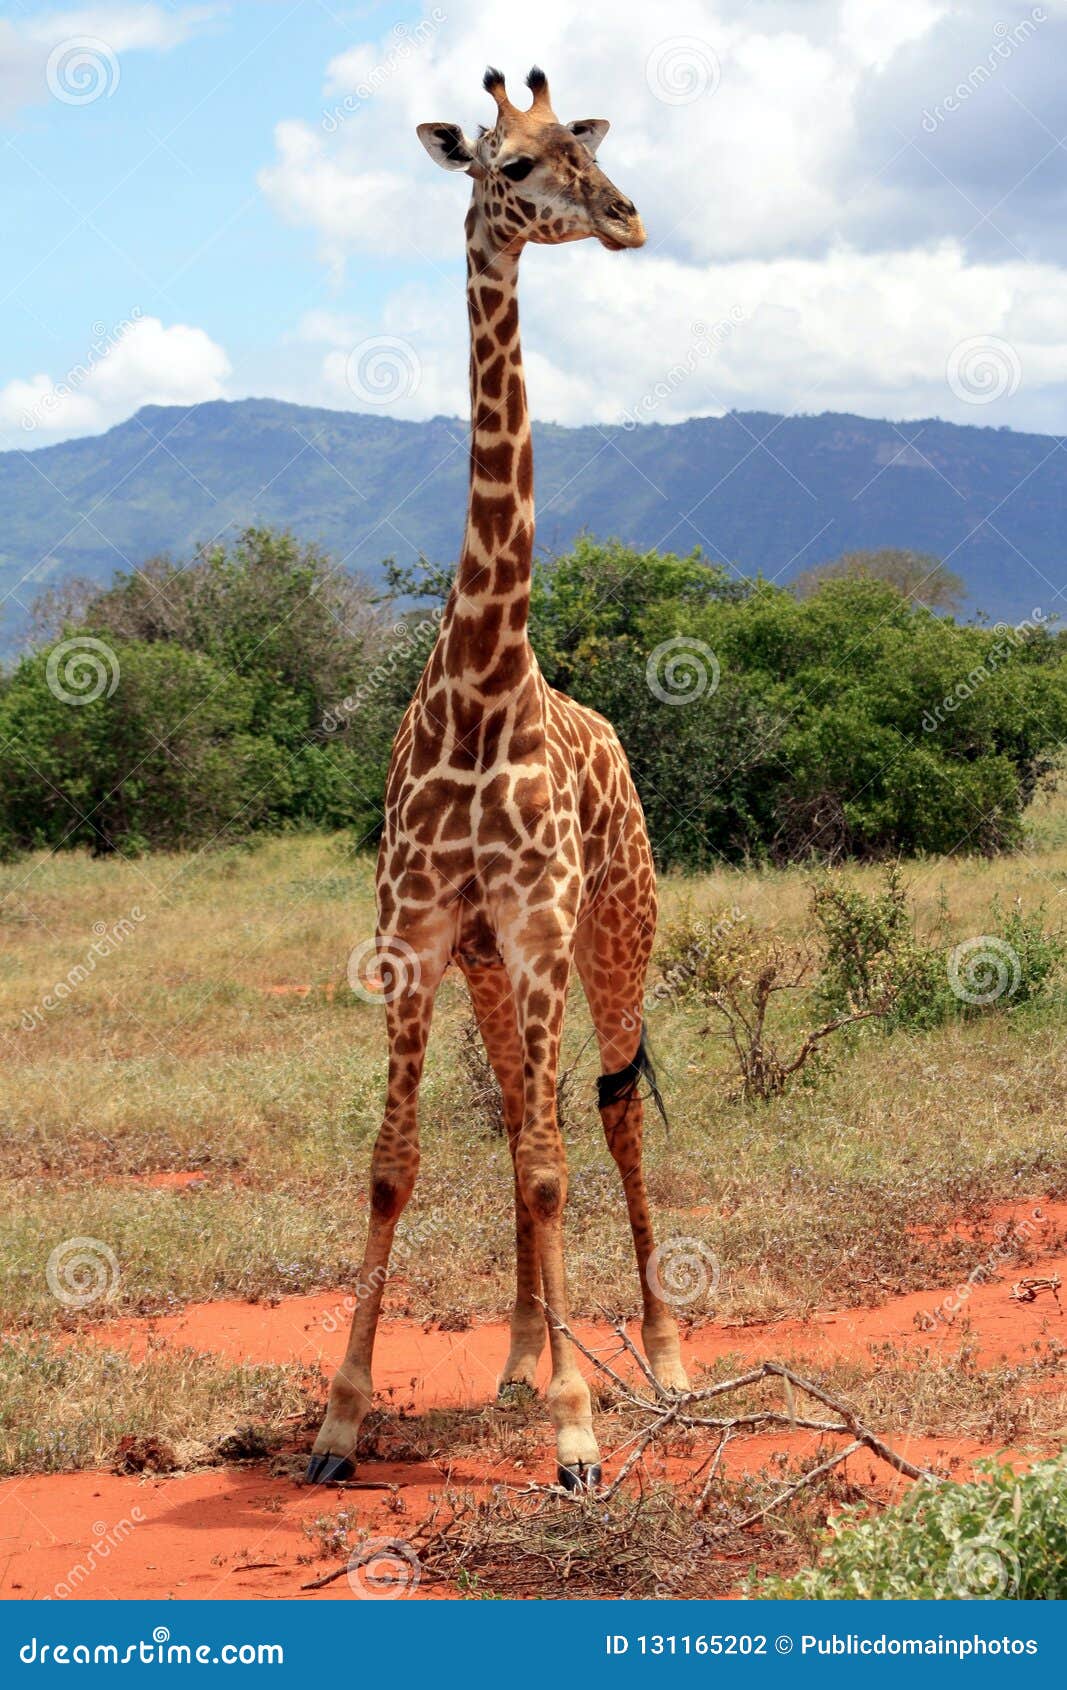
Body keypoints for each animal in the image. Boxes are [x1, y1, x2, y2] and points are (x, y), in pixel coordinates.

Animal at [307, 65, 689, 1493]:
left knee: (608, 1119)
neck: (480, 687)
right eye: (510, 164)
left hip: (616, 937)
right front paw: (341, 1419)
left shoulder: (536, 935)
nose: (629, 216)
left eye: (581, 145)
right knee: (546, 1116)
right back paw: (522, 1355)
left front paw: (580, 1430)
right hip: (490, 974)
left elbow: (541, 1164)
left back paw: (660, 1356)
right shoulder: (420, 941)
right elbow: (395, 1161)